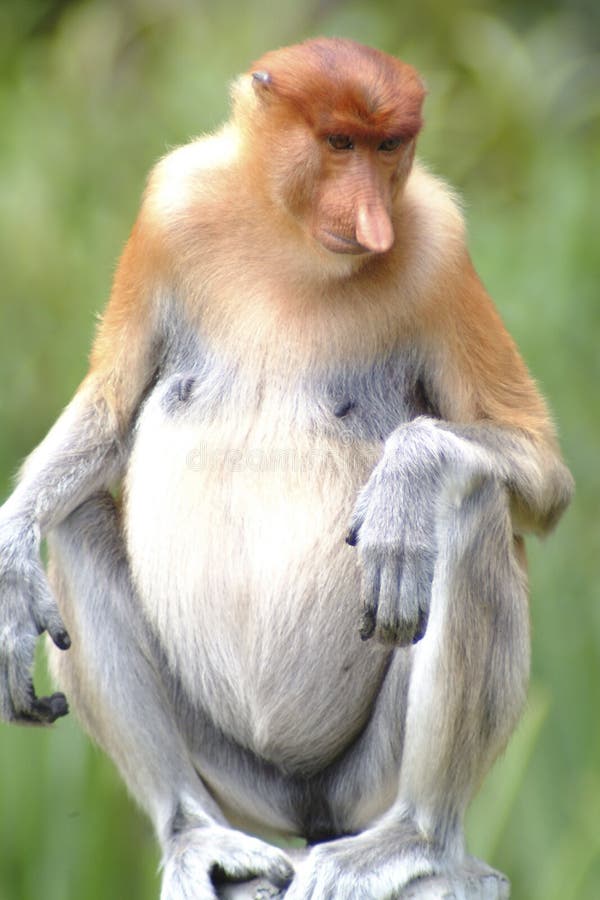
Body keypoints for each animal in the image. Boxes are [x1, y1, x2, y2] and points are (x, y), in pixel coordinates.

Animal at [0, 37, 573, 900]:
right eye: (339, 143)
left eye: (389, 146)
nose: (372, 223)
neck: (289, 241)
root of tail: (311, 813)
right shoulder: (167, 210)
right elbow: (109, 407)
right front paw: (9, 570)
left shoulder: (439, 246)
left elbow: (538, 465)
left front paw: (406, 479)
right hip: (237, 775)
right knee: (71, 522)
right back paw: (194, 834)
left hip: (364, 778)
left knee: (470, 506)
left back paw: (414, 840)